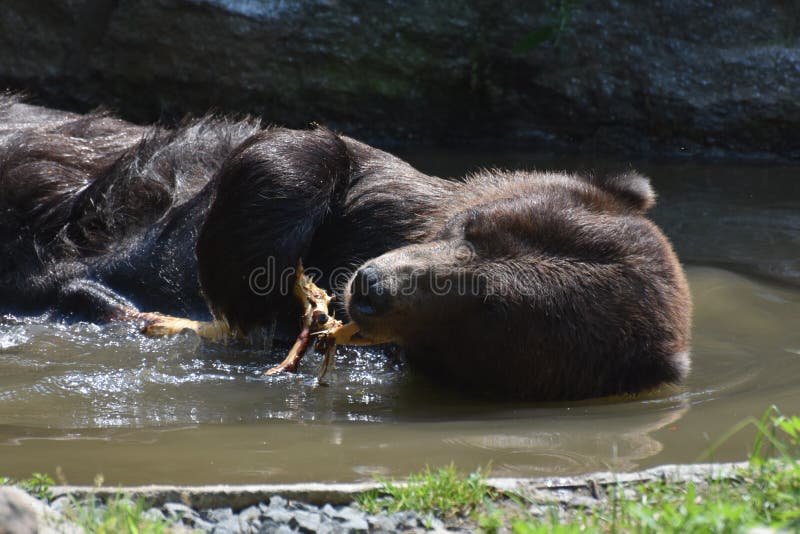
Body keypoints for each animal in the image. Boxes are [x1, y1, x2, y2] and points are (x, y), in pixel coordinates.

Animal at [0, 95, 692, 400]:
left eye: (490, 308)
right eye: (475, 229)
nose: (373, 286)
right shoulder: (380, 200)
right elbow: (309, 152)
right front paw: (247, 275)